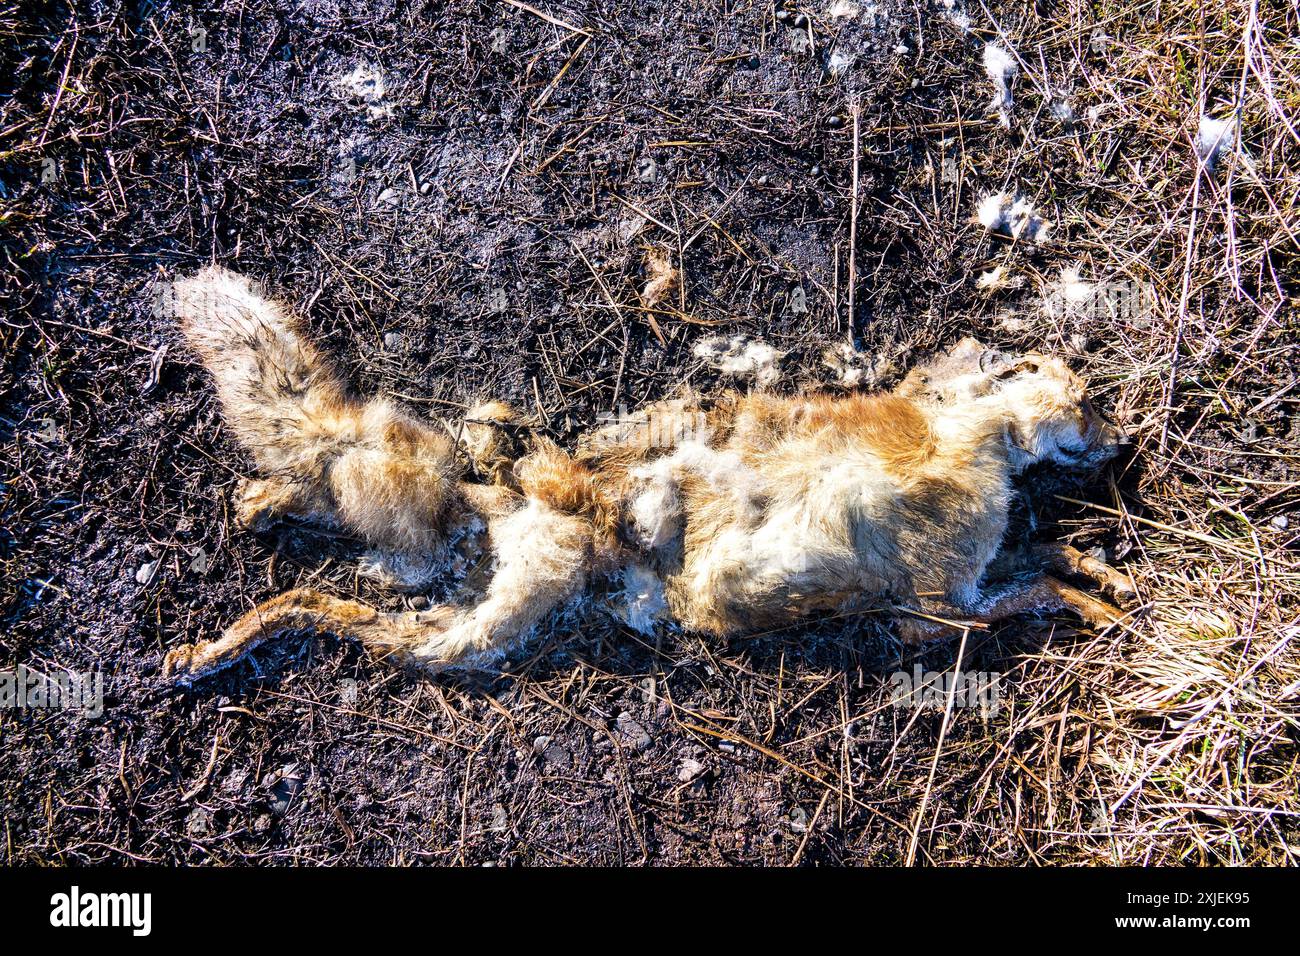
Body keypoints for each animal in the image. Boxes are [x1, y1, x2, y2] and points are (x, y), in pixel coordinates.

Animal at [161, 266, 1136, 684]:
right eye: (1086, 397)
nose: (1123, 441)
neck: (971, 438)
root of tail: (514, 507)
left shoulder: (956, 588)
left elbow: (1045, 558)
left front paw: (1115, 578)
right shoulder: (933, 612)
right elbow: (1037, 587)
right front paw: (1103, 608)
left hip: (482, 595)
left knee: (330, 551)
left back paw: (244, 540)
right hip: (493, 619)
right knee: (329, 598)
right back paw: (205, 649)